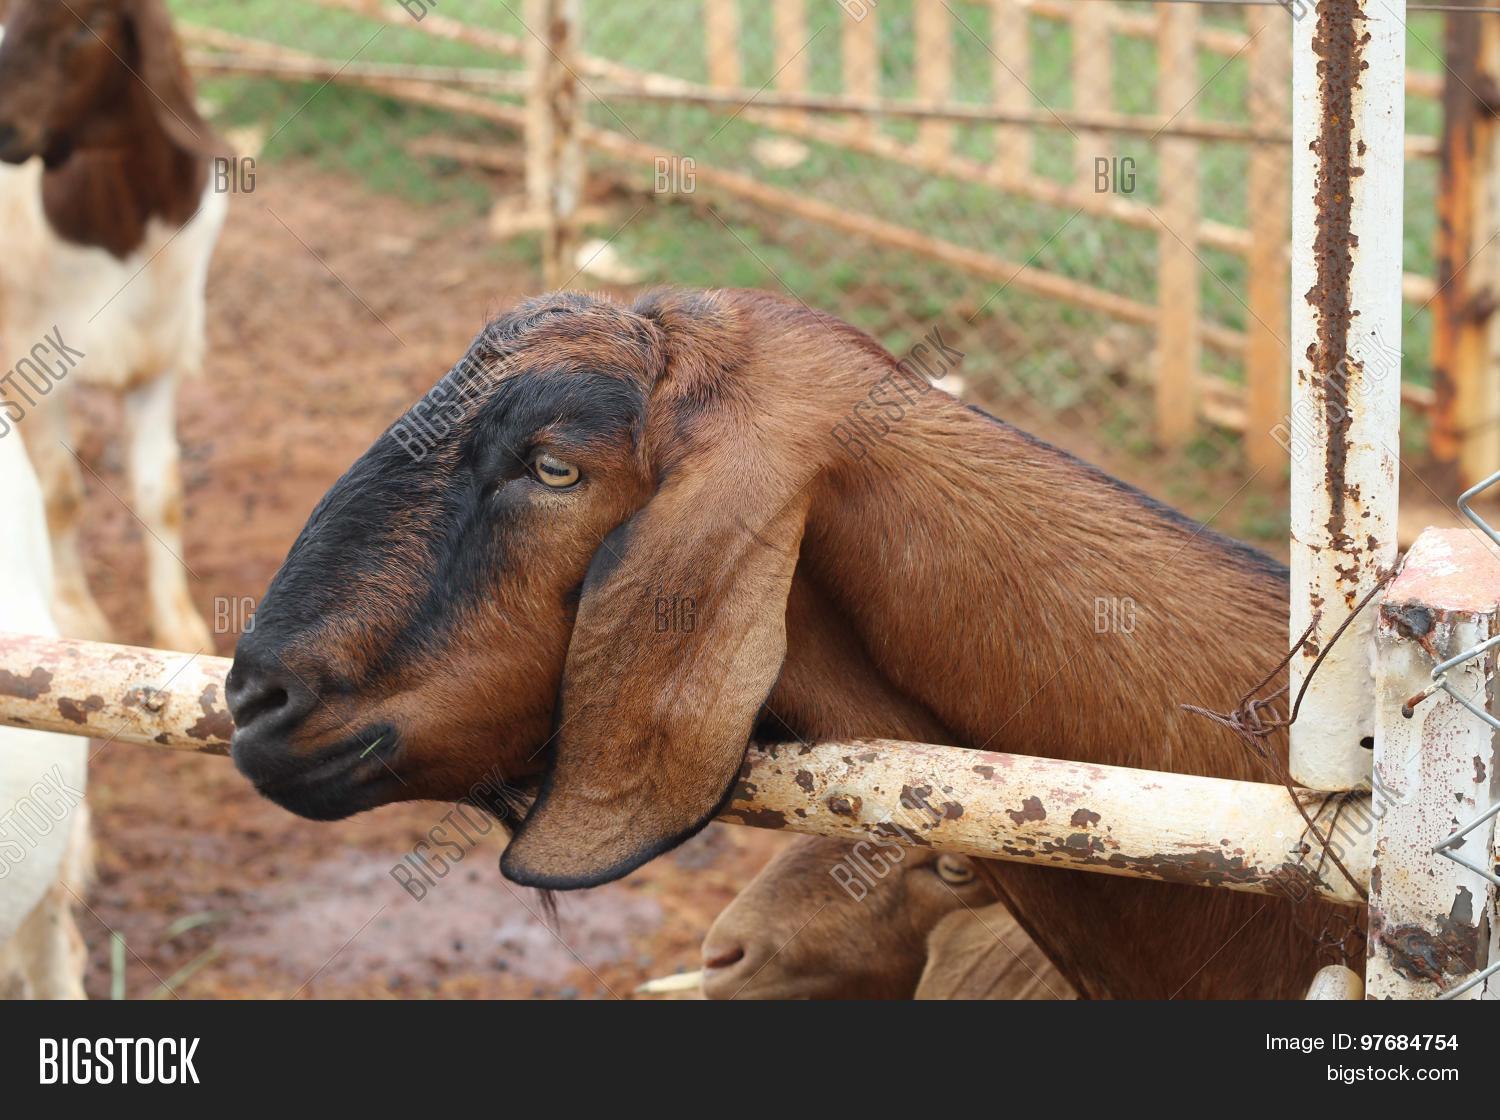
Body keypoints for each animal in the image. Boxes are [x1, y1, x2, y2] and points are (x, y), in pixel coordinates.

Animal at [0, 0, 227, 651]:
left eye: (84, 27)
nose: (2, 130)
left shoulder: (158, 356)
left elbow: (163, 493)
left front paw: (180, 630)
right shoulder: (33, 357)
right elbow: (59, 496)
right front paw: (78, 618)